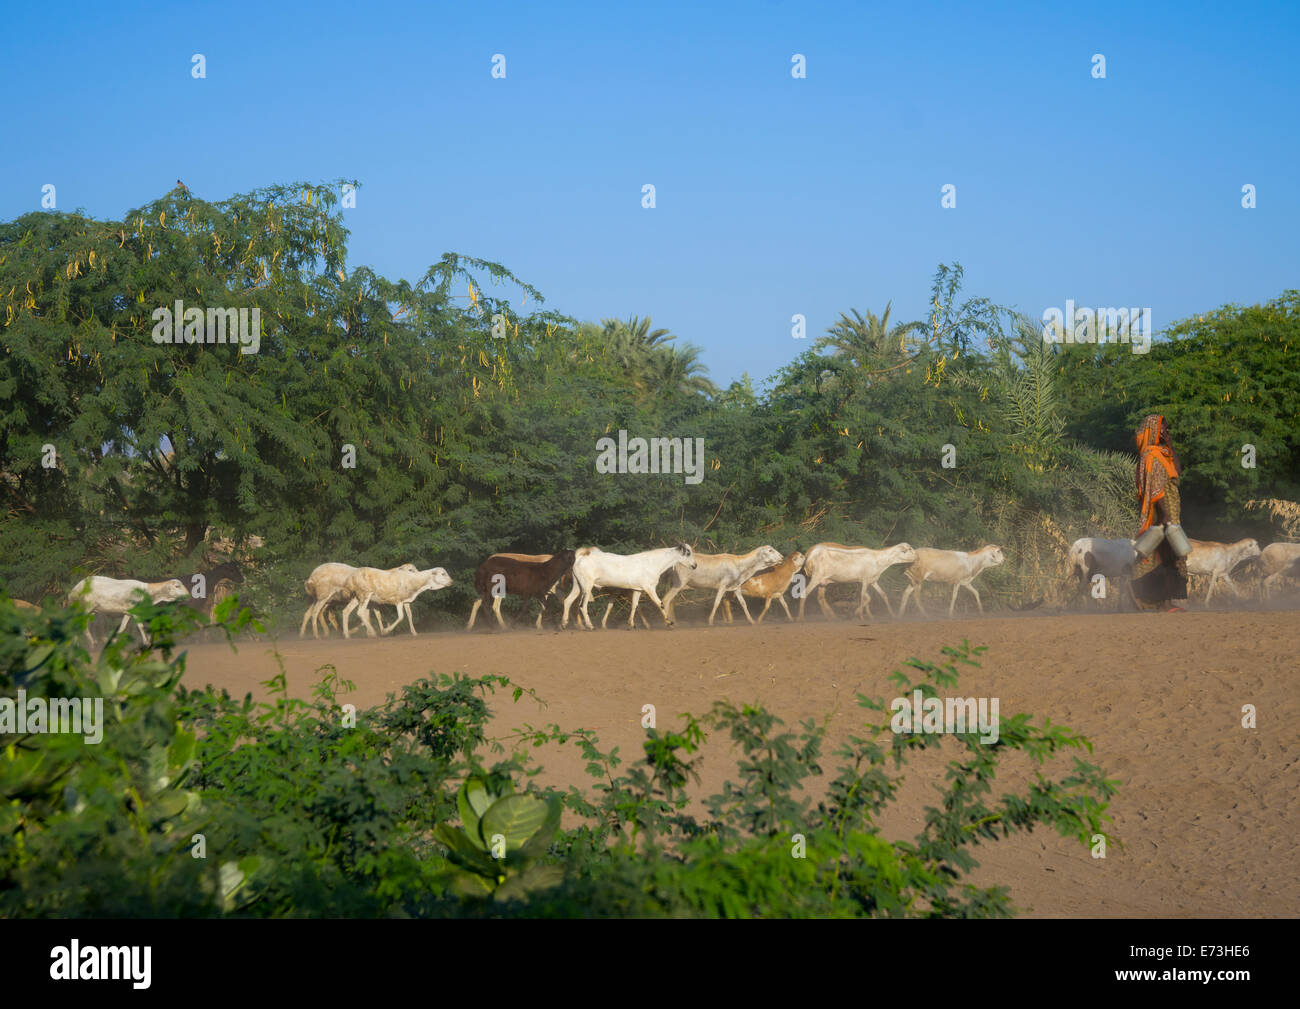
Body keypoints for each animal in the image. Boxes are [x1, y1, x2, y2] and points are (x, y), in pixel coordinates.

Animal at [562, 544, 696, 630]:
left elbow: (634, 606)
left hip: (578, 585)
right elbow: (660, 604)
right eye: (688, 553)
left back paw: (563, 624)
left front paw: (631, 624)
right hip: (587, 586)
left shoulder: (638, 589)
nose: (695, 565)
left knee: (567, 601)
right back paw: (590, 626)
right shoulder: (649, 588)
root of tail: (581, 556)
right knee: (582, 606)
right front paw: (669, 623)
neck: (653, 563)